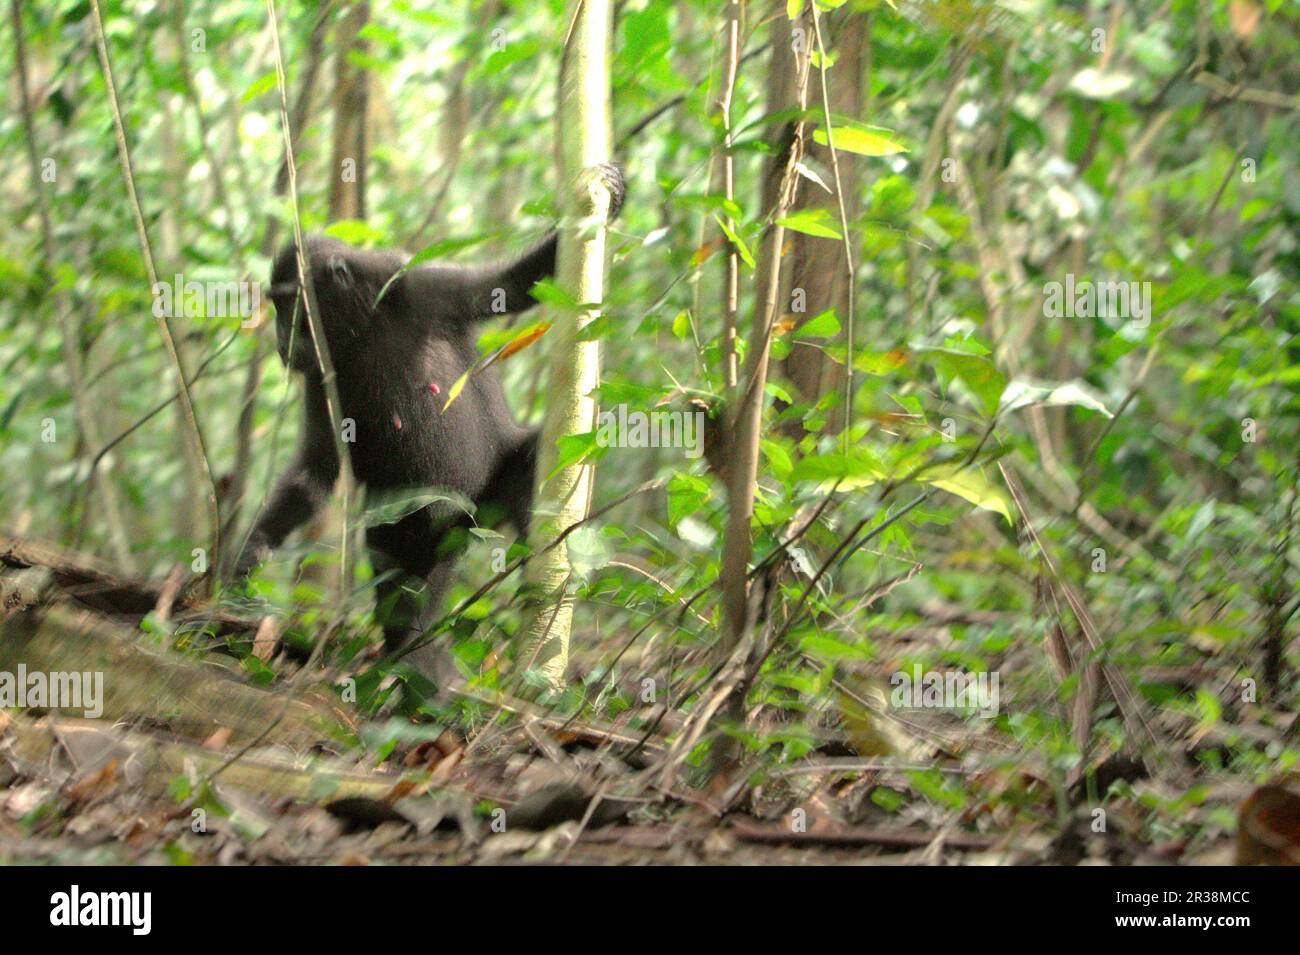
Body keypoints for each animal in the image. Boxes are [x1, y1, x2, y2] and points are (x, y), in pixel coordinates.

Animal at [236, 163, 625, 682]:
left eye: (291, 305)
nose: (281, 339)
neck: (363, 329)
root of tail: (466, 524)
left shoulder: (419, 287)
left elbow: (511, 285)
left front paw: (610, 196)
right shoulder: (321, 375)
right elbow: (316, 468)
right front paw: (252, 550)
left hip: (481, 498)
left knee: (525, 463)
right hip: (409, 531)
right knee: (400, 583)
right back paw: (417, 666)